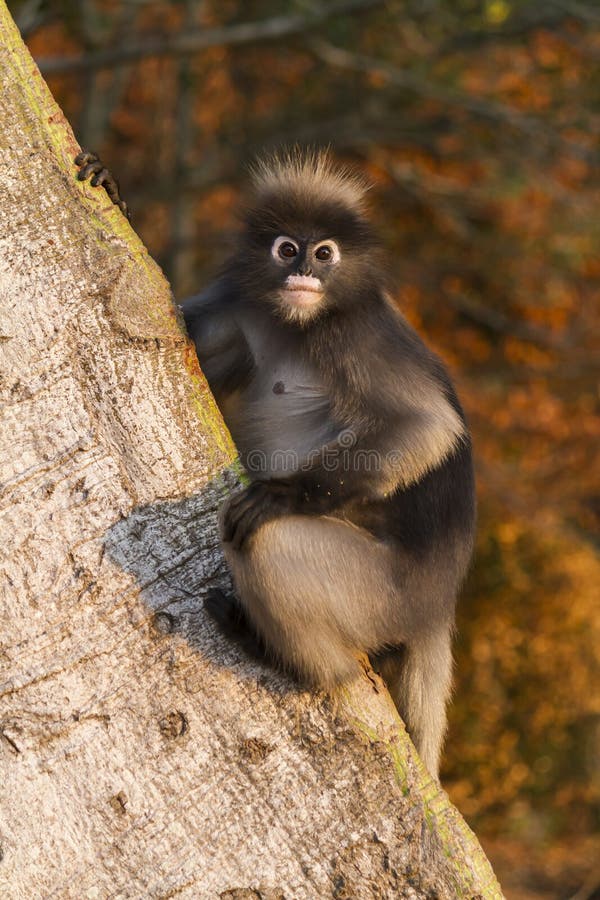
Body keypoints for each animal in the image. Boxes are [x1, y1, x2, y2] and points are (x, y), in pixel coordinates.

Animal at [75, 148, 475, 777]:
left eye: (325, 252)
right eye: (288, 248)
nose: (304, 272)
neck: (297, 321)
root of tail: (438, 605)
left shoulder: (354, 334)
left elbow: (429, 428)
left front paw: (281, 494)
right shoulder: (244, 305)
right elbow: (188, 345)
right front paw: (113, 189)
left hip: (379, 597)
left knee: (266, 543)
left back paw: (294, 662)